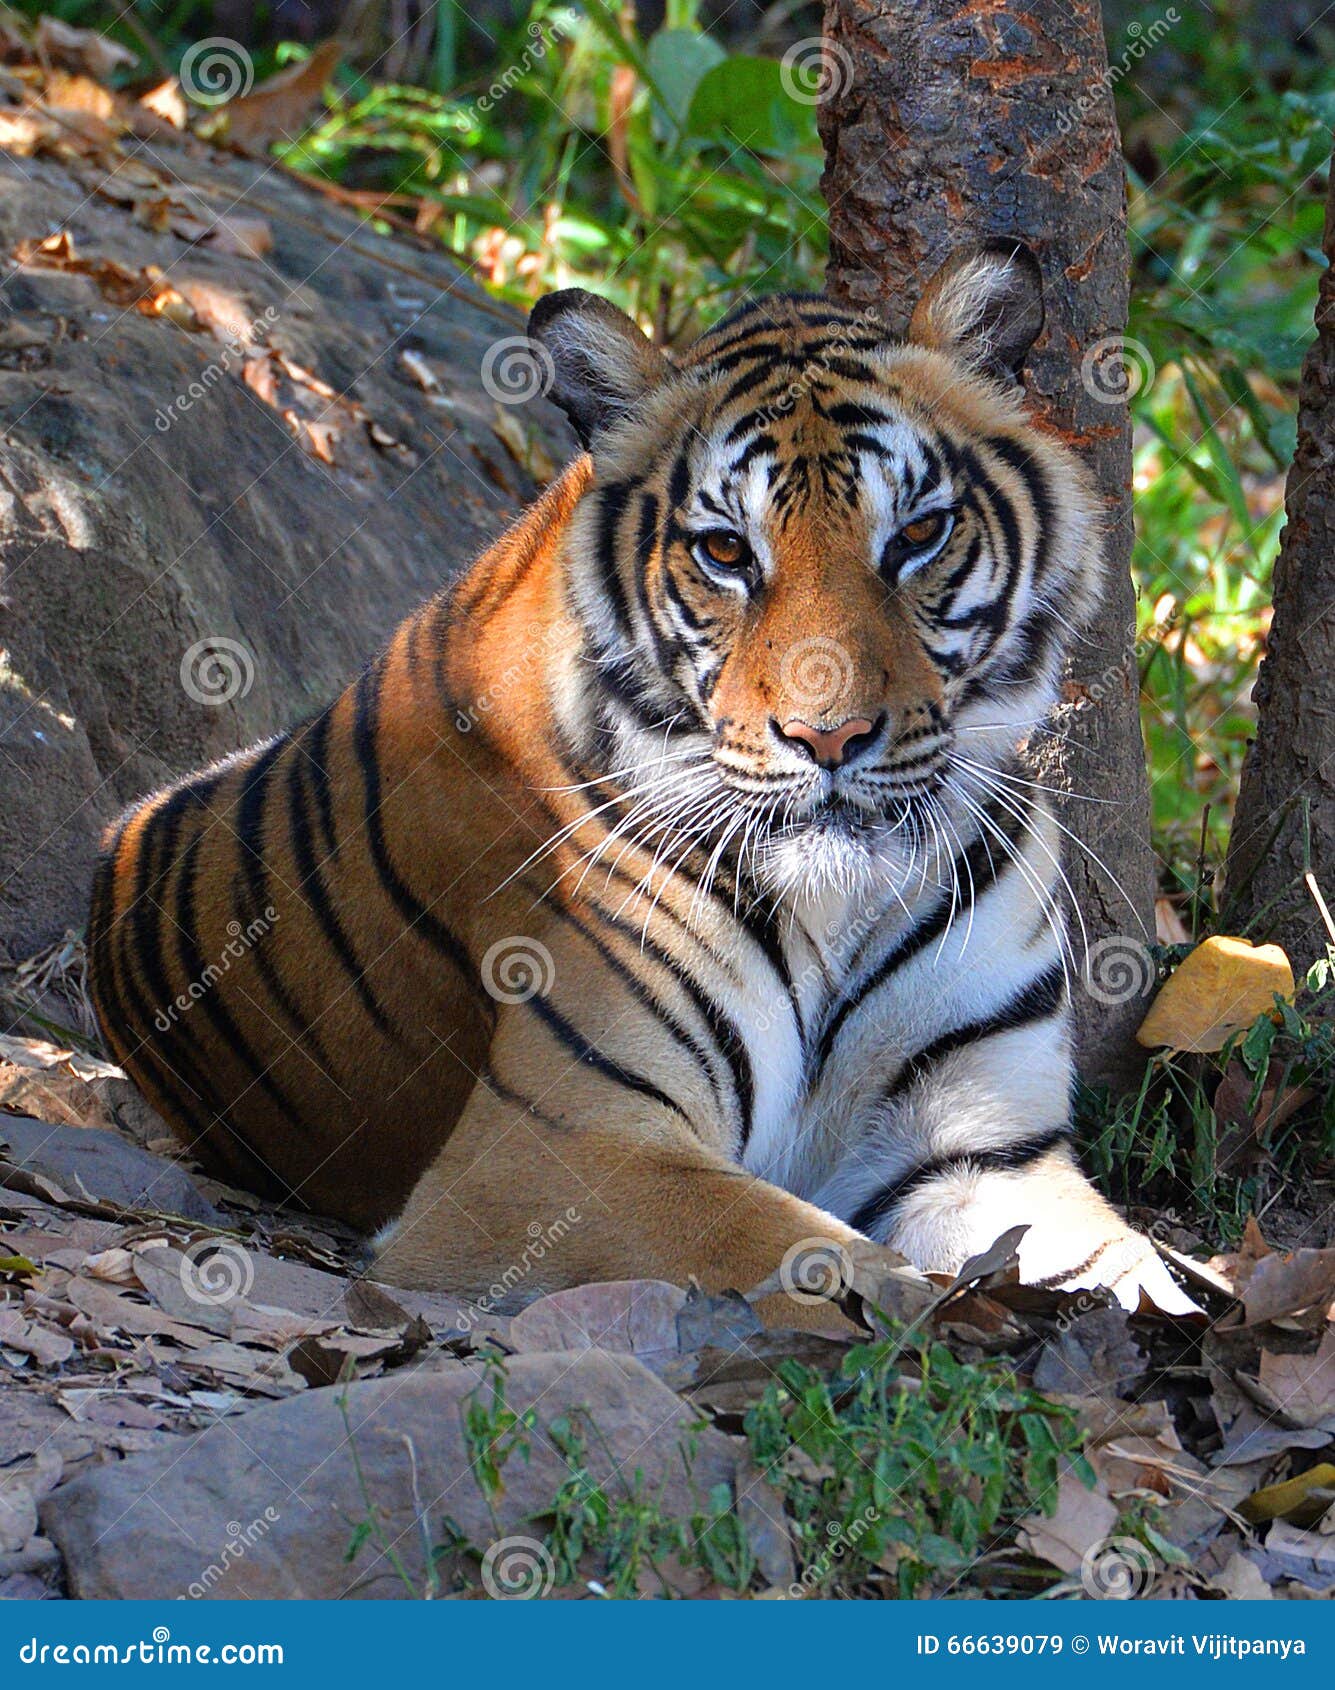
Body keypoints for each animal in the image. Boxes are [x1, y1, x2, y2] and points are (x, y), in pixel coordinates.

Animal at [87, 240, 1194, 1326]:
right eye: (725, 552)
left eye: (917, 536)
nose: (828, 736)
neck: (838, 906)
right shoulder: (552, 1148)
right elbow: (800, 1252)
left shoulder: (982, 1151)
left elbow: (1137, 1273)